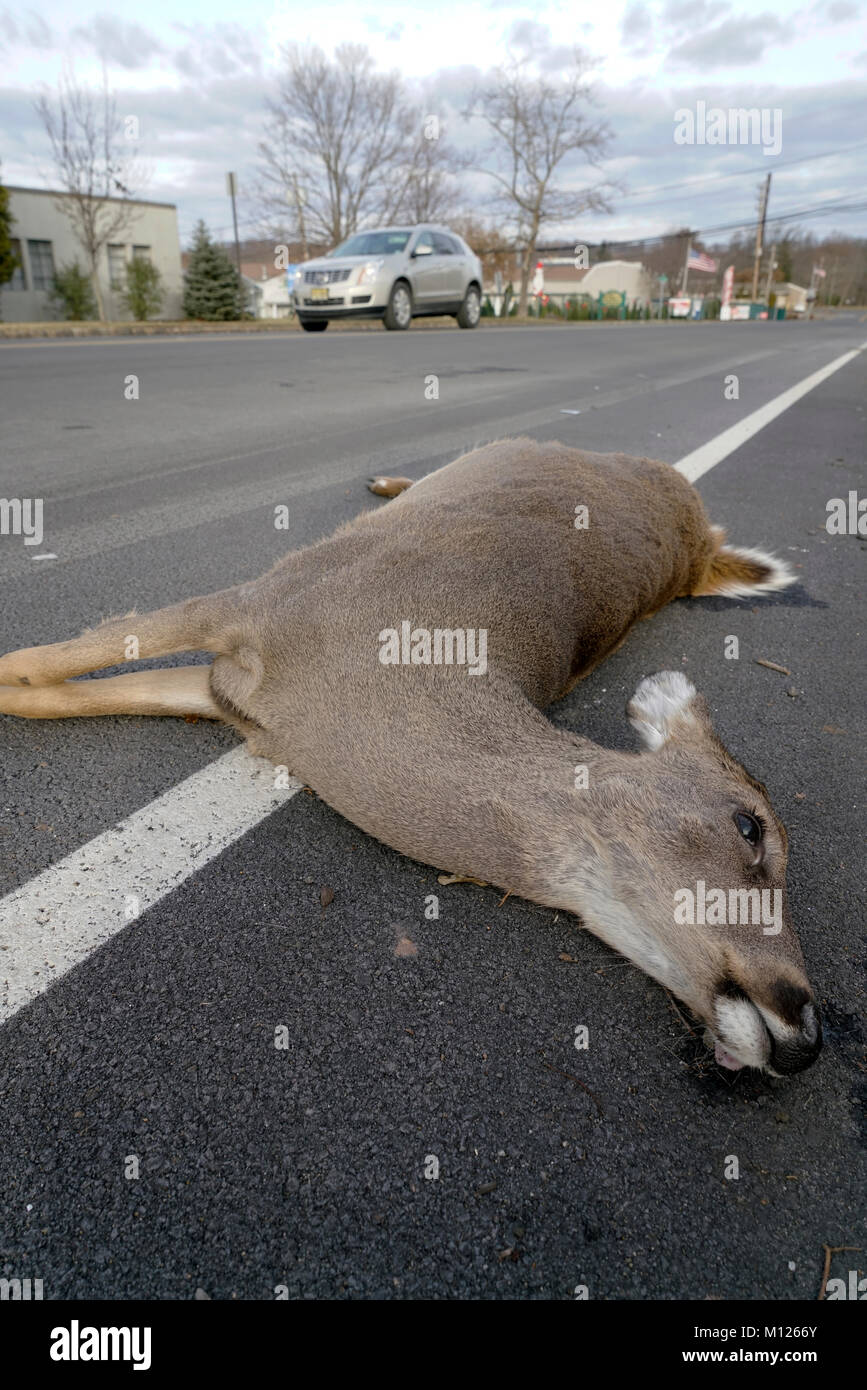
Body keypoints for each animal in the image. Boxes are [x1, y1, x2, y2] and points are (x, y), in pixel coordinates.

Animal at [0, 438, 822, 1077]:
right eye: (750, 827)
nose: (806, 1035)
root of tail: (691, 521)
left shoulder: (240, 701)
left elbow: (61, 691)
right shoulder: (262, 599)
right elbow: (51, 660)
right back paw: (387, 481)